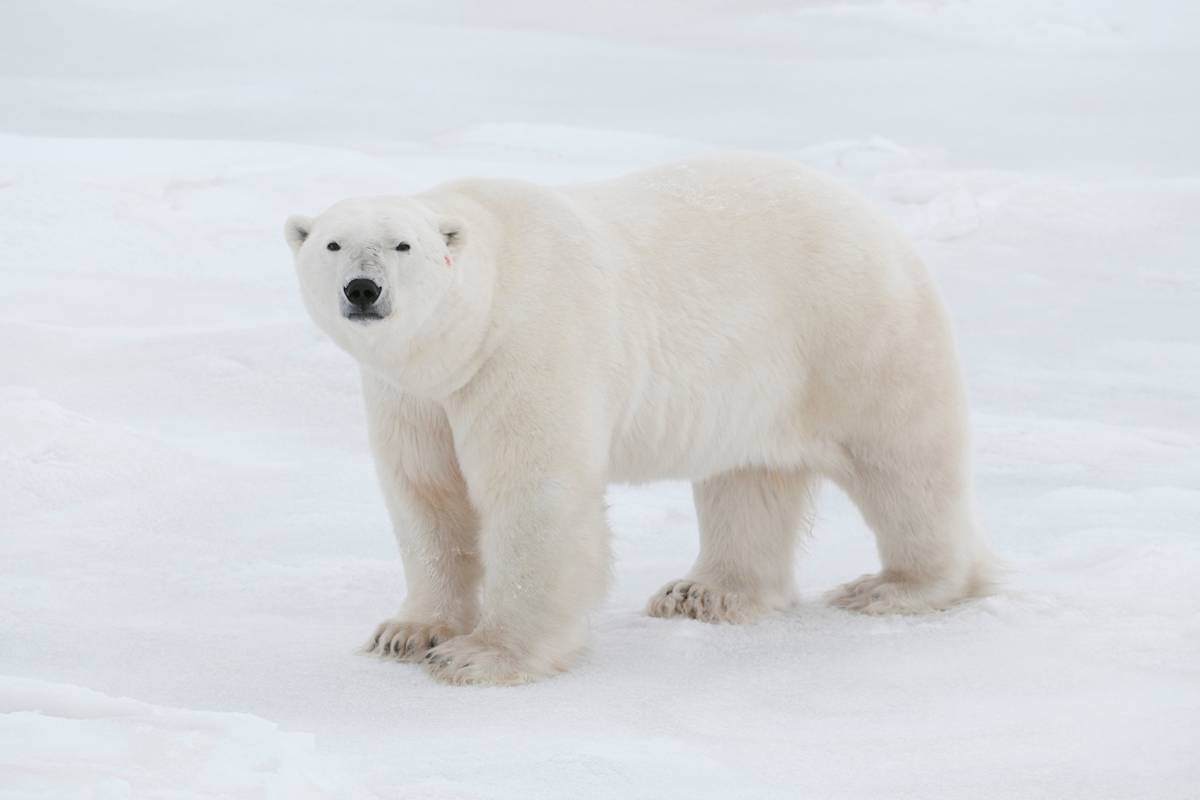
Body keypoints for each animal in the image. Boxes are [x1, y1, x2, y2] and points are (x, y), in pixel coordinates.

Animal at [284, 153, 994, 686]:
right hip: (758, 379)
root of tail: (875, 218)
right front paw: (407, 632)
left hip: (851, 329)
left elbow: (533, 492)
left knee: (903, 462)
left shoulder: (528, 347)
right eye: (333, 242)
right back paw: (706, 593)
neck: (474, 325)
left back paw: (896, 587)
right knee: (747, 480)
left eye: (403, 245)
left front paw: (482, 656)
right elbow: (426, 495)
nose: (363, 289)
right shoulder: (412, 394)